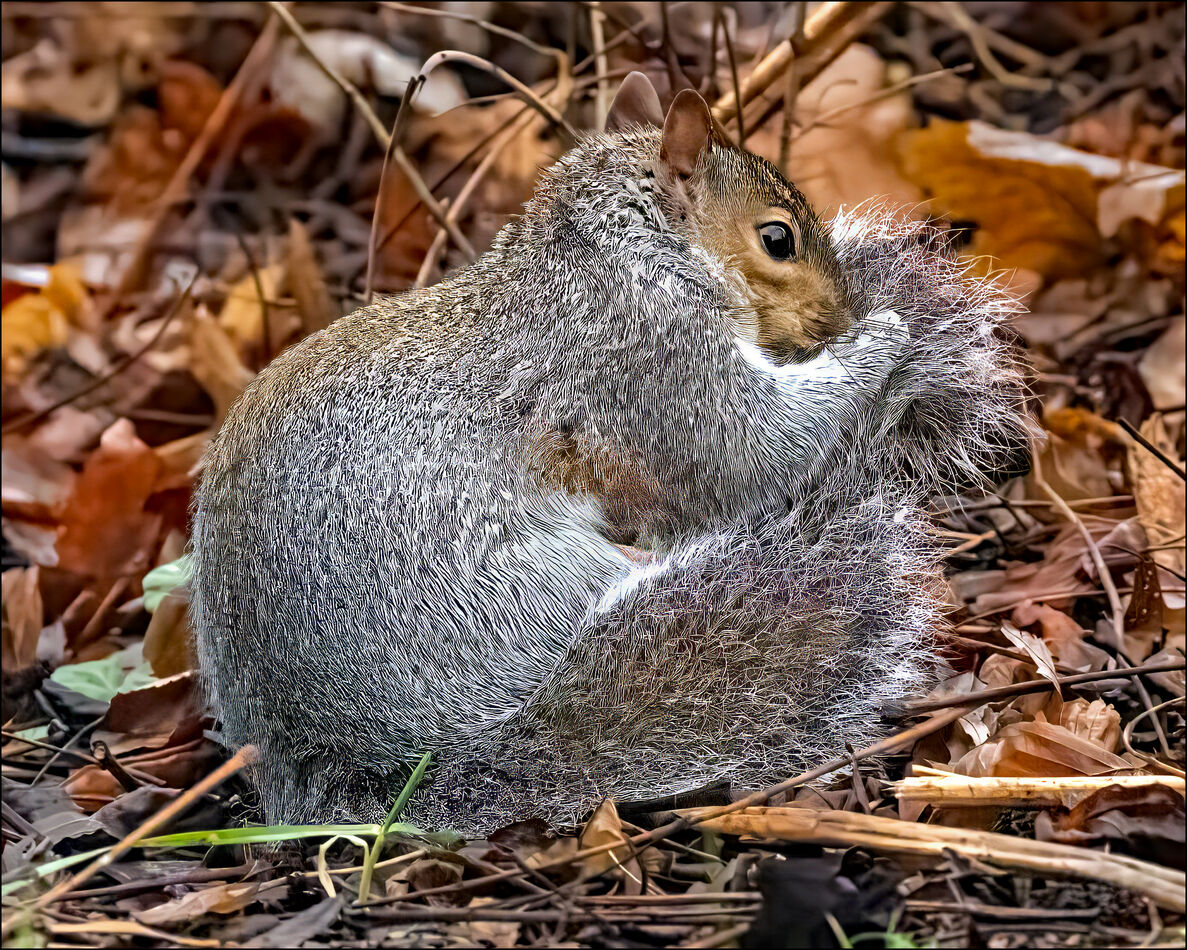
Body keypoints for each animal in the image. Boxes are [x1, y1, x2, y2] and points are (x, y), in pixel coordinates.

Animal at [190, 74, 1030, 835]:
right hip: (525, 586)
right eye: (777, 238)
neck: (612, 248)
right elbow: (746, 450)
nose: (839, 315)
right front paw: (880, 336)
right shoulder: (648, 359)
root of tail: (333, 752)